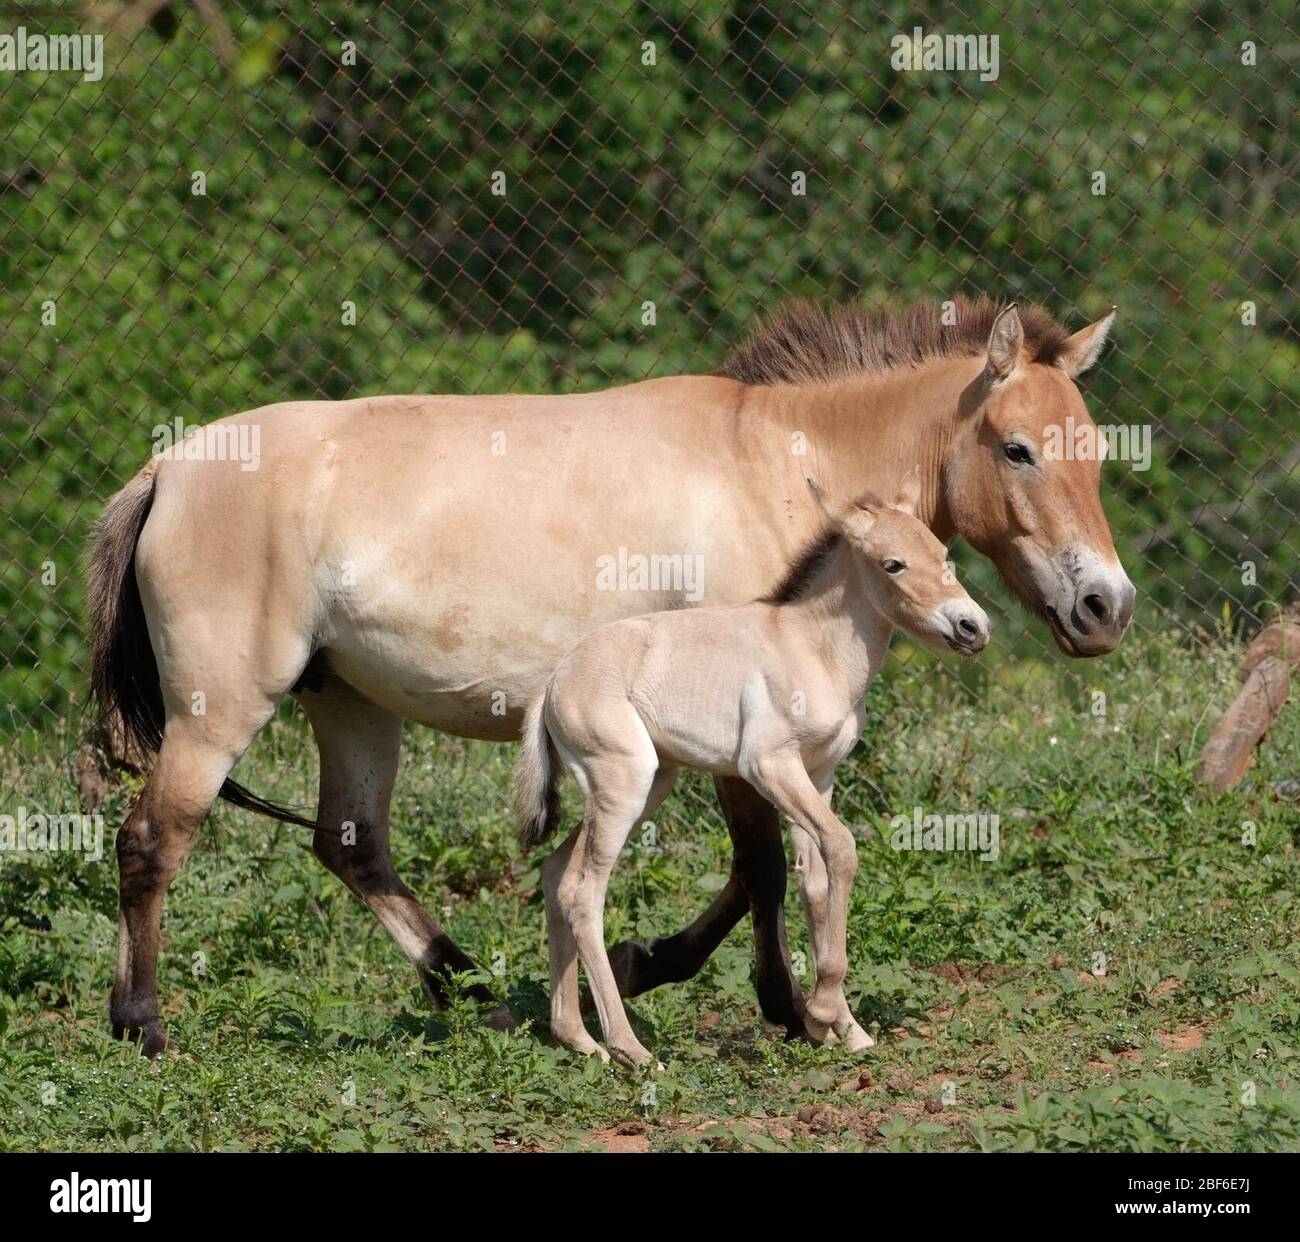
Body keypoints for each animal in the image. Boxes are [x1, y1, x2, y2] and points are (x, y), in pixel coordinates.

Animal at [518, 474, 991, 1066]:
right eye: (893, 564)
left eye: (944, 554)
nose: (973, 627)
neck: (813, 648)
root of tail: (554, 680)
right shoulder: (768, 766)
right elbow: (842, 849)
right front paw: (822, 1013)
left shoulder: (819, 777)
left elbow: (816, 879)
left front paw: (844, 1029)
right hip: (623, 787)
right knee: (584, 893)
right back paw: (632, 1051)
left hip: (646, 786)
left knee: (556, 874)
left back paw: (578, 1039)